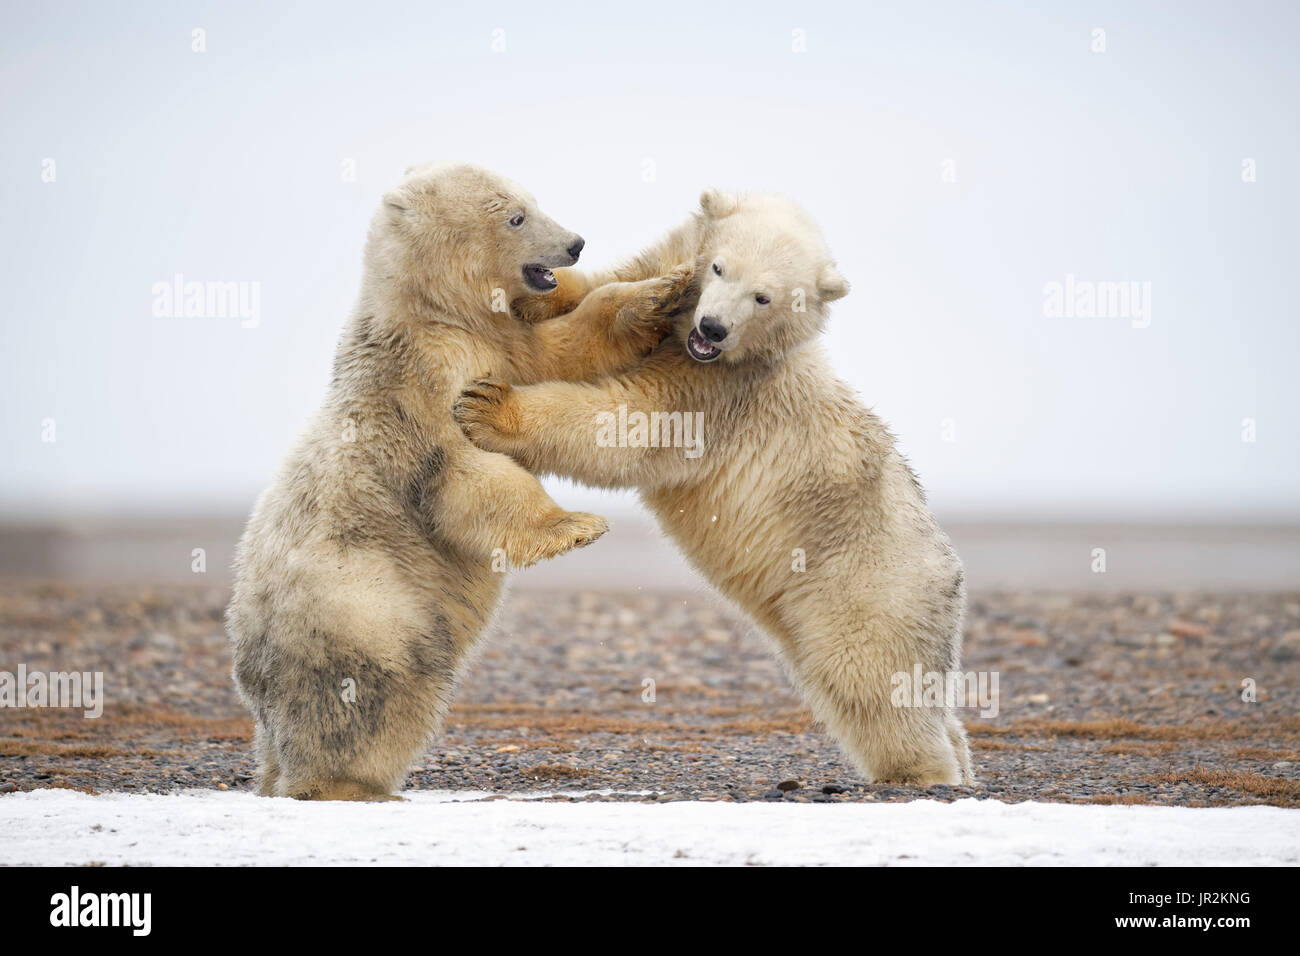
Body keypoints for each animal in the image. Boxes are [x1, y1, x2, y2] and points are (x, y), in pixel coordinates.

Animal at [226, 162, 693, 800]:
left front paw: (660, 288)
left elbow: (554, 342)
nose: (575, 243)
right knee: (369, 695)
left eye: (533, 200)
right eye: (516, 216)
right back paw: (348, 784)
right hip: (363, 607)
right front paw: (576, 526)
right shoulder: (435, 376)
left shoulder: (487, 336)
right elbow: (479, 462)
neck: (433, 310)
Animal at [454, 189, 974, 786]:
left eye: (764, 297)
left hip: (867, 592)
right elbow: (604, 291)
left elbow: (627, 422)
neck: (711, 349)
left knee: (872, 686)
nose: (714, 326)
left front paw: (487, 406)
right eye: (721, 267)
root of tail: (950, 578)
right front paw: (547, 295)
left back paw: (922, 774)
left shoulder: (716, 390)